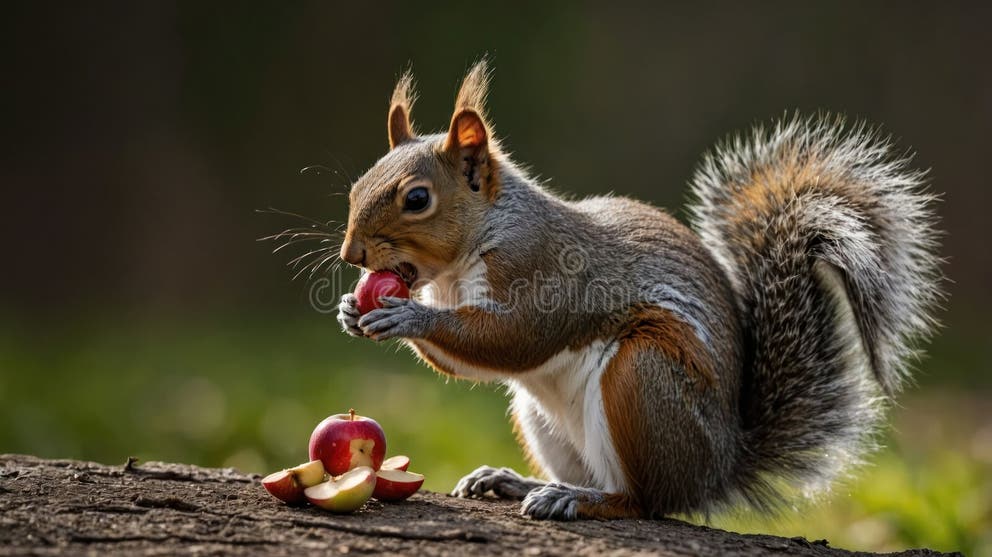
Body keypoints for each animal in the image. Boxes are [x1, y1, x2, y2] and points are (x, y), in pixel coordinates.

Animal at [334, 62, 943, 520]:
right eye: (356, 186)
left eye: (417, 199)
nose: (351, 255)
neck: (472, 249)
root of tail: (715, 471)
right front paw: (349, 310)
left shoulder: (547, 272)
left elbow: (514, 339)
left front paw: (406, 319)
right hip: (546, 418)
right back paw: (516, 482)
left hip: (642, 375)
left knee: (642, 500)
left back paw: (574, 500)